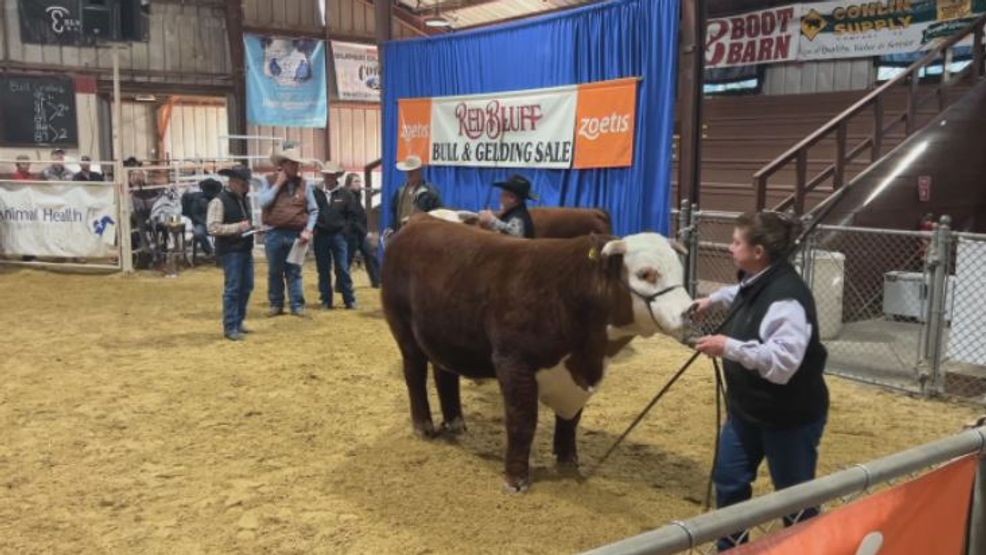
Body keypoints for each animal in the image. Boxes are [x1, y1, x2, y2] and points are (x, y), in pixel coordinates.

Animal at [381, 217, 693, 492]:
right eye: (645, 274)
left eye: (680, 271)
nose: (691, 313)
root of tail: (418, 222)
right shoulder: (513, 361)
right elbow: (522, 422)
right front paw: (516, 480)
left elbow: (570, 421)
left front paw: (569, 464)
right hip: (403, 329)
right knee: (414, 373)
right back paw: (423, 427)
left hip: (444, 334)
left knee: (445, 374)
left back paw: (456, 423)